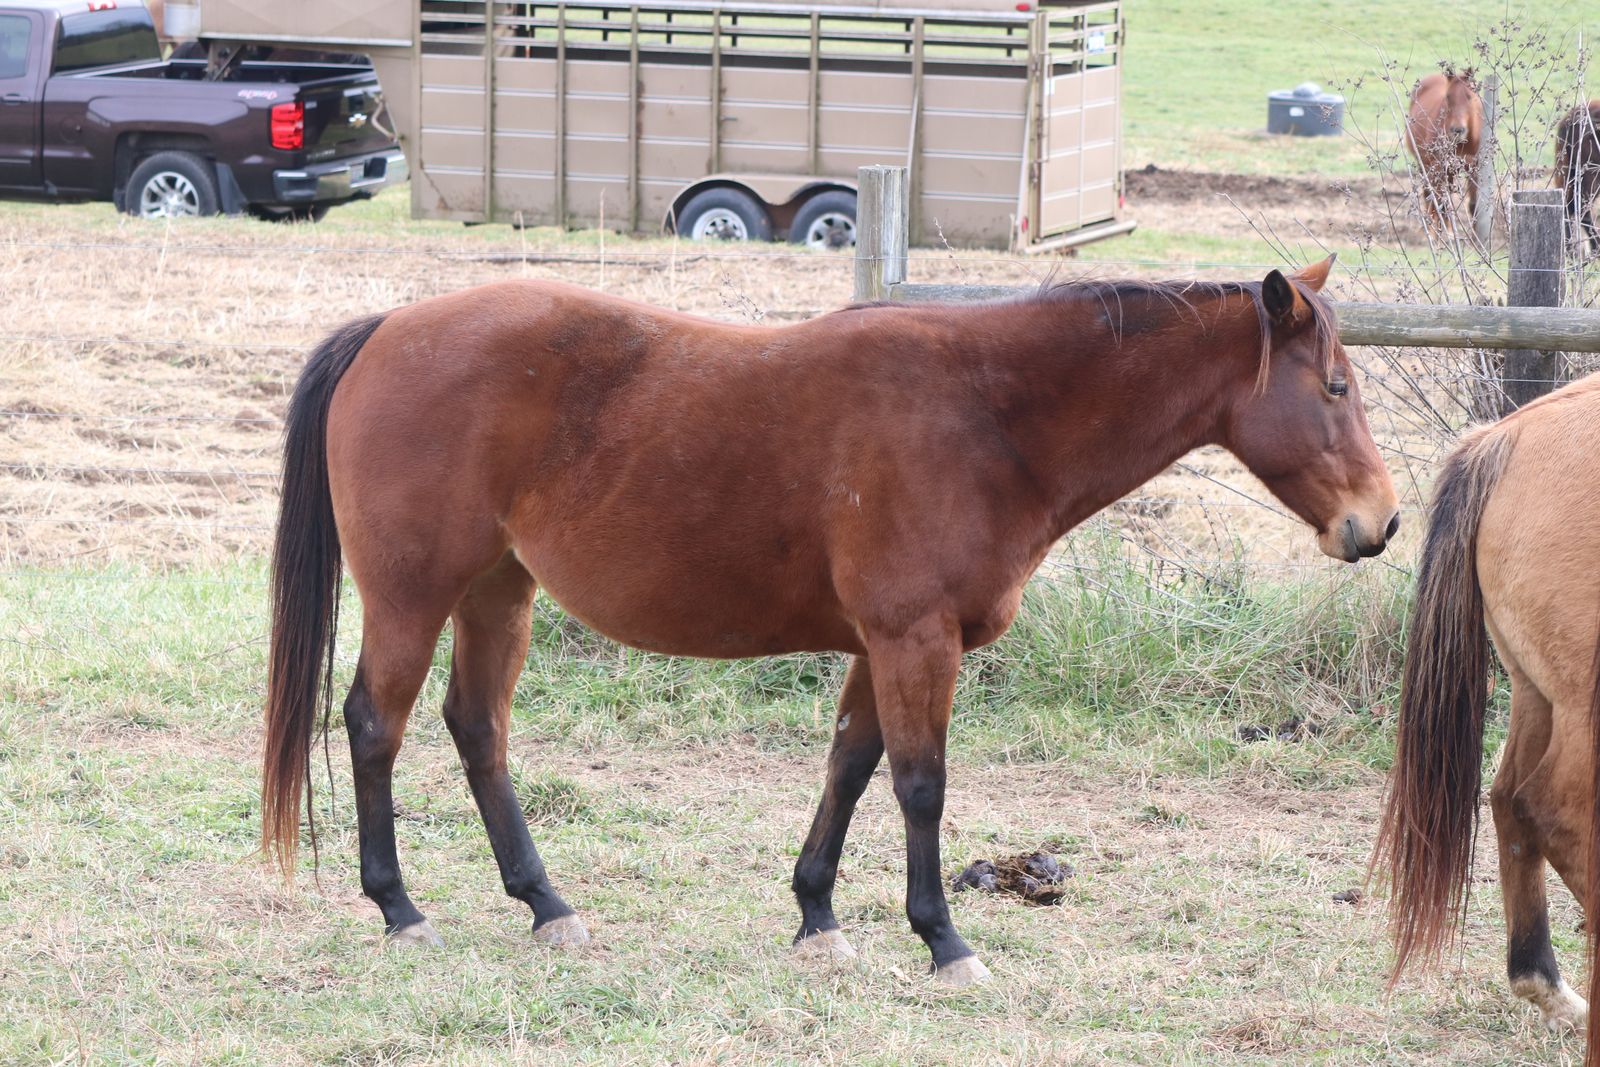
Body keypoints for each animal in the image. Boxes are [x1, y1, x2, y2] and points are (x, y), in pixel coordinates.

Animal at [263, 257, 1399, 983]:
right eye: (1336, 385)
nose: (1380, 523)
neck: (986, 414)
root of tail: (389, 329)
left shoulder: (883, 645)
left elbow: (850, 768)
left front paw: (817, 915)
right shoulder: (914, 639)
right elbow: (919, 786)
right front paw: (944, 940)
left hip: (499, 589)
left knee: (478, 729)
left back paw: (547, 904)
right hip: (413, 594)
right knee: (375, 725)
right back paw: (400, 908)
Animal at [1404, 70, 1484, 237]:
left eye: (1469, 96)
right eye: (1448, 96)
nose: (1458, 130)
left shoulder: (1475, 168)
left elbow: (1474, 205)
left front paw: (1476, 238)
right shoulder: (1438, 168)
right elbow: (1441, 202)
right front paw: (1446, 235)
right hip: (1426, 165)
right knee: (1430, 196)